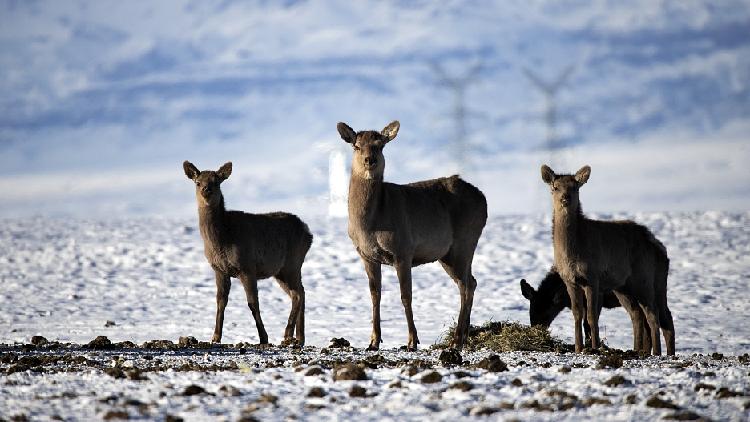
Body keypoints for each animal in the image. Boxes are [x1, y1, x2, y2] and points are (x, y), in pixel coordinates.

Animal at [183, 161, 312, 346]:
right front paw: (215, 337)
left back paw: (288, 335)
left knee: (297, 294)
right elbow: (220, 301)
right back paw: (299, 338)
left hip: (292, 263)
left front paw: (263, 337)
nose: (206, 190)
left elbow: (253, 303)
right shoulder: (219, 269)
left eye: (216, 182)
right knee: (300, 292)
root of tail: (309, 233)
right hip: (281, 271)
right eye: (197, 182)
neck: (222, 240)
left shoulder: (247, 267)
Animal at [337, 120, 487, 350]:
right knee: (471, 281)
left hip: (464, 243)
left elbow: (405, 295)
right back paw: (464, 336)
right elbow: (375, 295)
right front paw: (373, 341)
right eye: (356, 146)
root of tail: (484, 199)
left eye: (380, 145)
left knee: (466, 285)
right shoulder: (367, 255)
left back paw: (456, 340)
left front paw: (412, 341)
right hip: (449, 254)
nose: (369, 160)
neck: (370, 224)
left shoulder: (403, 250)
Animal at [520, 268, 652, 352]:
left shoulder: (598, 297)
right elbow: (585, 324)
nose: (536, 330)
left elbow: (589, 323)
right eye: (531, 313)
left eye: (545, 314)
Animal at [541, 164, 675, 355]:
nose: (565, 199)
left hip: (644, 278)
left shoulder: (592, 277)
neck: (572, 254)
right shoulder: (570, 280)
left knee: (653, 315)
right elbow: (577, 315)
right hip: (625, 287)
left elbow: (591, 316)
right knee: (642, 315)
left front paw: (594, 347)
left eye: (575, 187)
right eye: (555, 187)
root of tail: (661, 249)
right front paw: (578, 348)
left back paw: (656, 353)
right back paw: (640, 351)